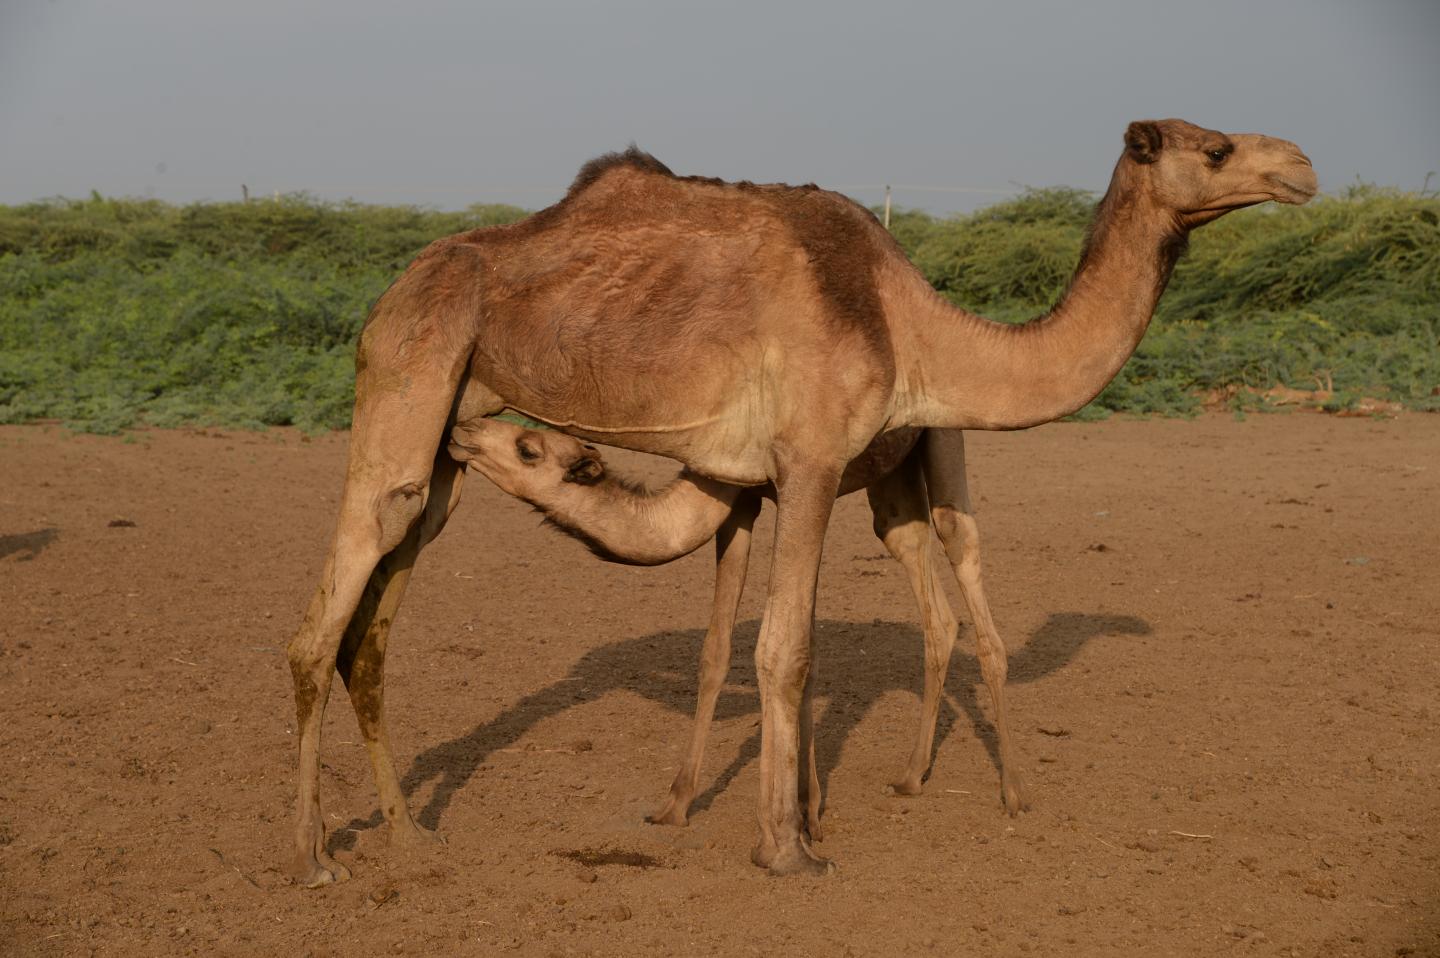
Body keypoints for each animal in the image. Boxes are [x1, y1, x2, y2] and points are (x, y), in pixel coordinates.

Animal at [283, 117, 1319, 881]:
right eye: (1215, 148)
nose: (1303, 165)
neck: (908, 322)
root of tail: (394, 290)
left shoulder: (760, 474)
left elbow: (779, 645)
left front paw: (792, 822)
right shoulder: (811, 458)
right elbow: (782, 652)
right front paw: (786, 849)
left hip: (447, 446)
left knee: (373, 627)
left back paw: (409, 838)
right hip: (410, 375)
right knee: (322, 625)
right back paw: (313, 857)